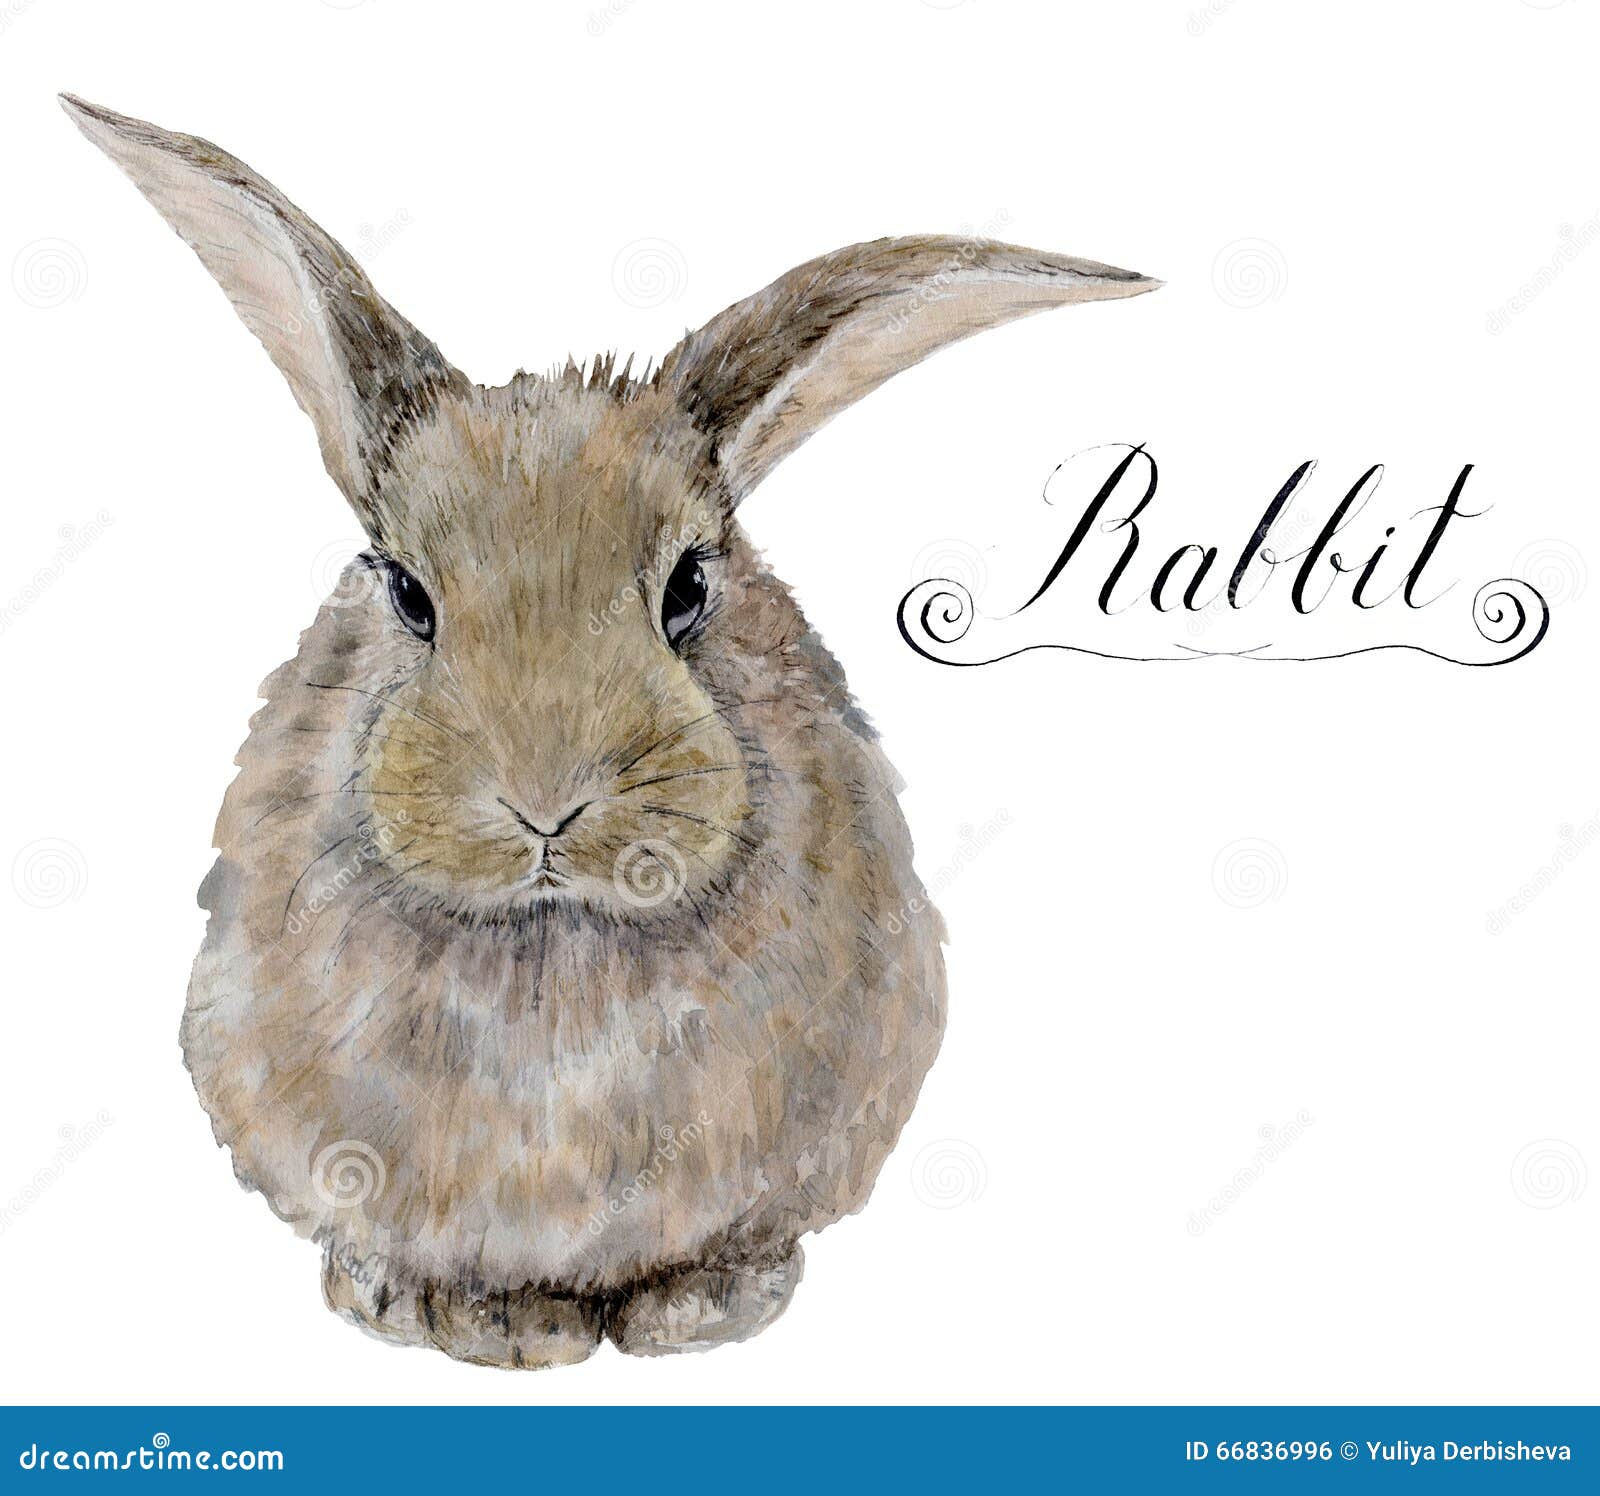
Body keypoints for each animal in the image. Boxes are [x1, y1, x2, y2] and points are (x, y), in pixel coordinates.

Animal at [63, 93, 1158, 1368]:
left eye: (689, 586)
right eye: (406, 593)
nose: (547, 803)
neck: (555, 933)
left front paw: (697, 1308)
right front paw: (465, 1320)